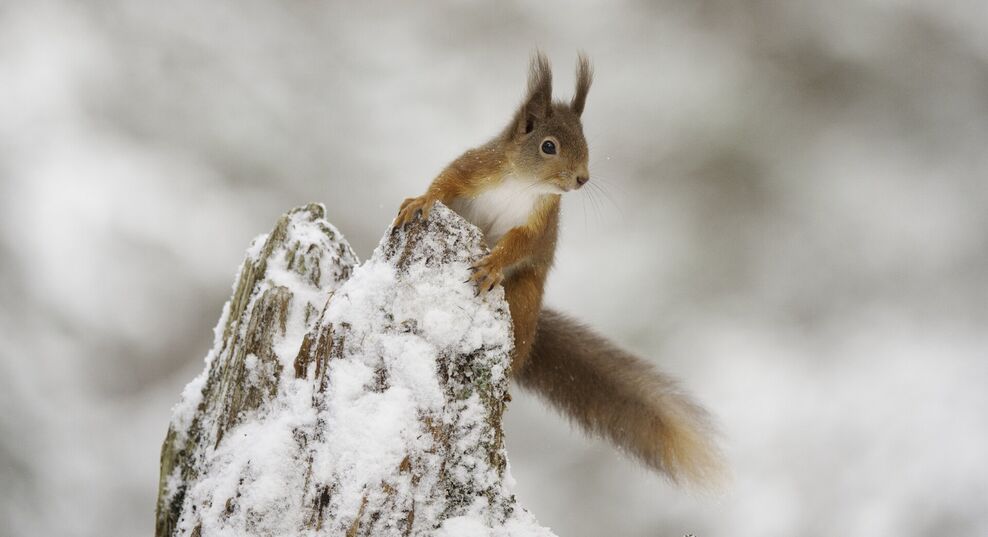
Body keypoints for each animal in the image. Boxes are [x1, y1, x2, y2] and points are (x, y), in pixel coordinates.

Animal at [395, 52, 724, 487]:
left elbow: (520, 245)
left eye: (585, 143)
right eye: (548, 146)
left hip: (523, 300)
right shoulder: (476, 167)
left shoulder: (539, 222)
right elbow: (444, 184)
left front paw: (493, 264)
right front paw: (420, 200)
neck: (522, 183)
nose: (582, 179)